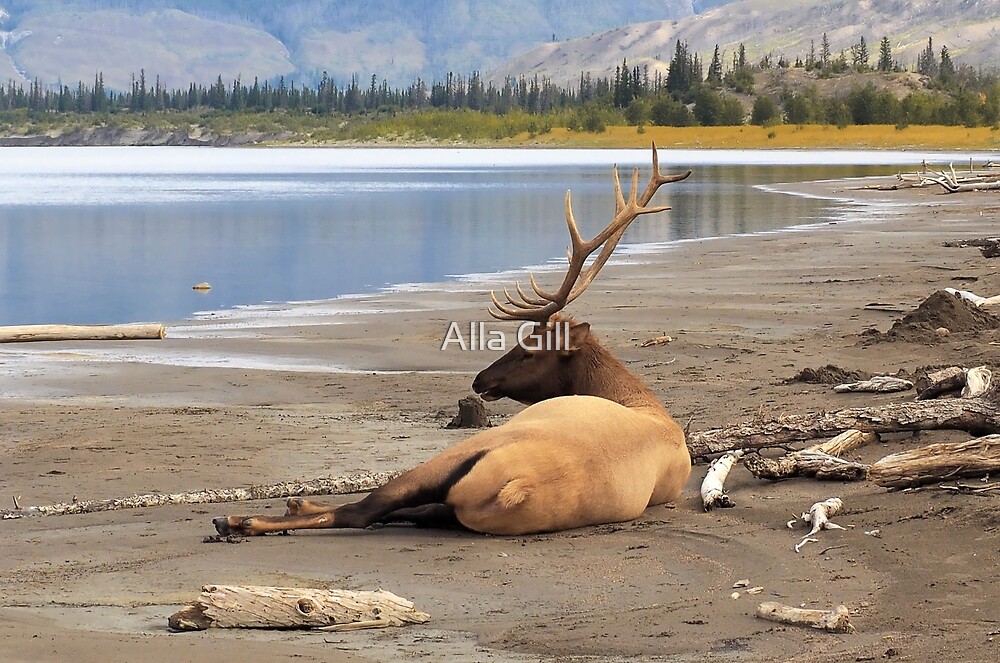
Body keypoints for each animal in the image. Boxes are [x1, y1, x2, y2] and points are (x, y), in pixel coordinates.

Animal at [213, 145, 692, 537]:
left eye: (527, 349)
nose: (480, 379)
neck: (634, 397)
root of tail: (516, 486)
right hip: (460, 507)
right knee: (396, 512)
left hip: (459, 455)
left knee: (365, 510)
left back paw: (242, 519)